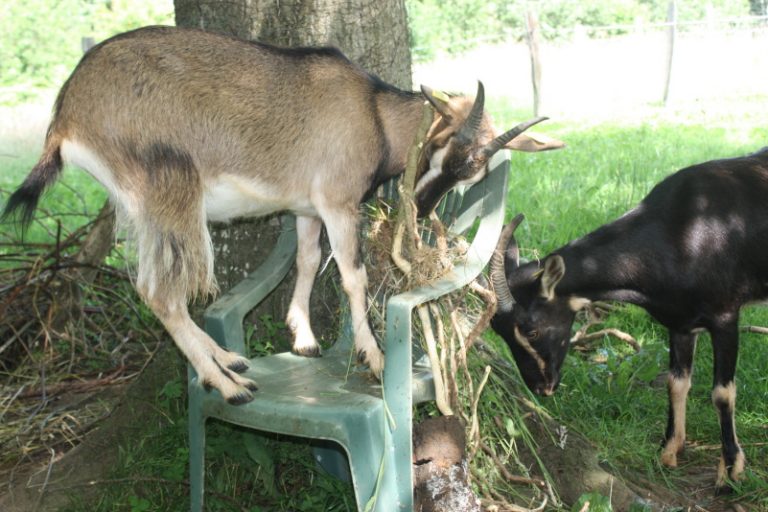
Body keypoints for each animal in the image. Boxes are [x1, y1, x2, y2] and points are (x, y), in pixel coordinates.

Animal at [2, 25, 561, 405]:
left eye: (473, 172)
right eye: (441, 144)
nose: (421, 207)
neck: (372, 111)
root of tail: (65, 114)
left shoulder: (305, 208)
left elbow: (308, 262)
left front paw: (305, 339)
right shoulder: (337, 202)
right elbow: (353, 275)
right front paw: (374, 356)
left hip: (141, 208)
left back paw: (227, 358)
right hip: (168, 192)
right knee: (158, 291)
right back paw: (227, 384)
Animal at [490, 147, 768, 492]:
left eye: (531, 330)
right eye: (496, 329)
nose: (541, 388)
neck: (682, 232)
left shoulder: (725, 316)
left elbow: (722, 393)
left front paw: (730, 471)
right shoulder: (680, 323)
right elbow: (676, 383)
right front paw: (668, 452)